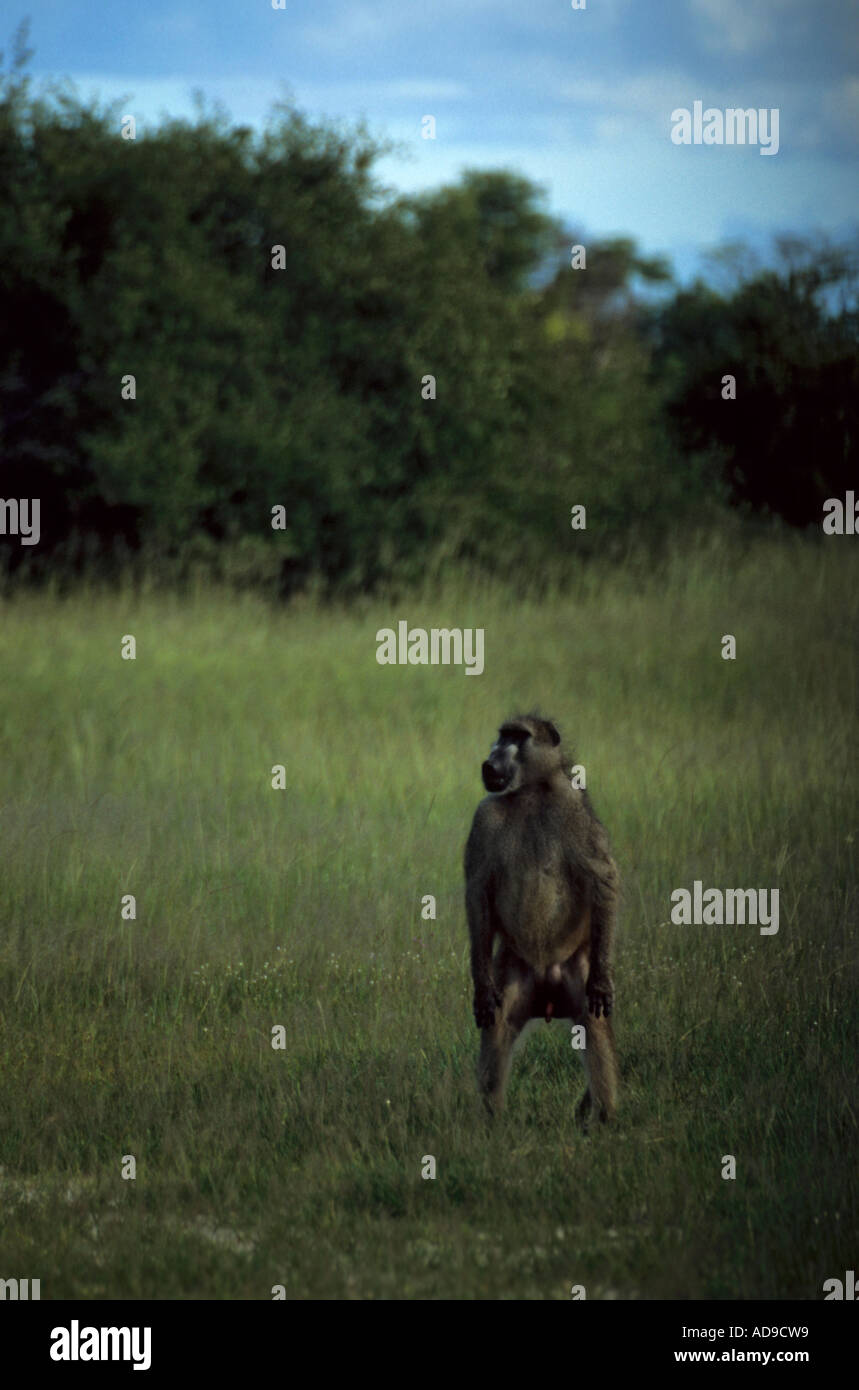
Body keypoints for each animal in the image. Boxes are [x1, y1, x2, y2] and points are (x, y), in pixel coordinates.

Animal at [464, 714, 619, 1124]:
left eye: (519, 737)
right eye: (503, 736)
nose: (490, 761)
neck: (531, 792)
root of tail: (547, 986)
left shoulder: (574, 809)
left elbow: (603, 877)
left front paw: (603, 979)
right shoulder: (484, 817)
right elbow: (477, 892)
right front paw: (480, 990)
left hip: (573, 973)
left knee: (594, 1027)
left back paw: (604, 1118)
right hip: (513, 973)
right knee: (499, 1027)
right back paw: (492, 1118)